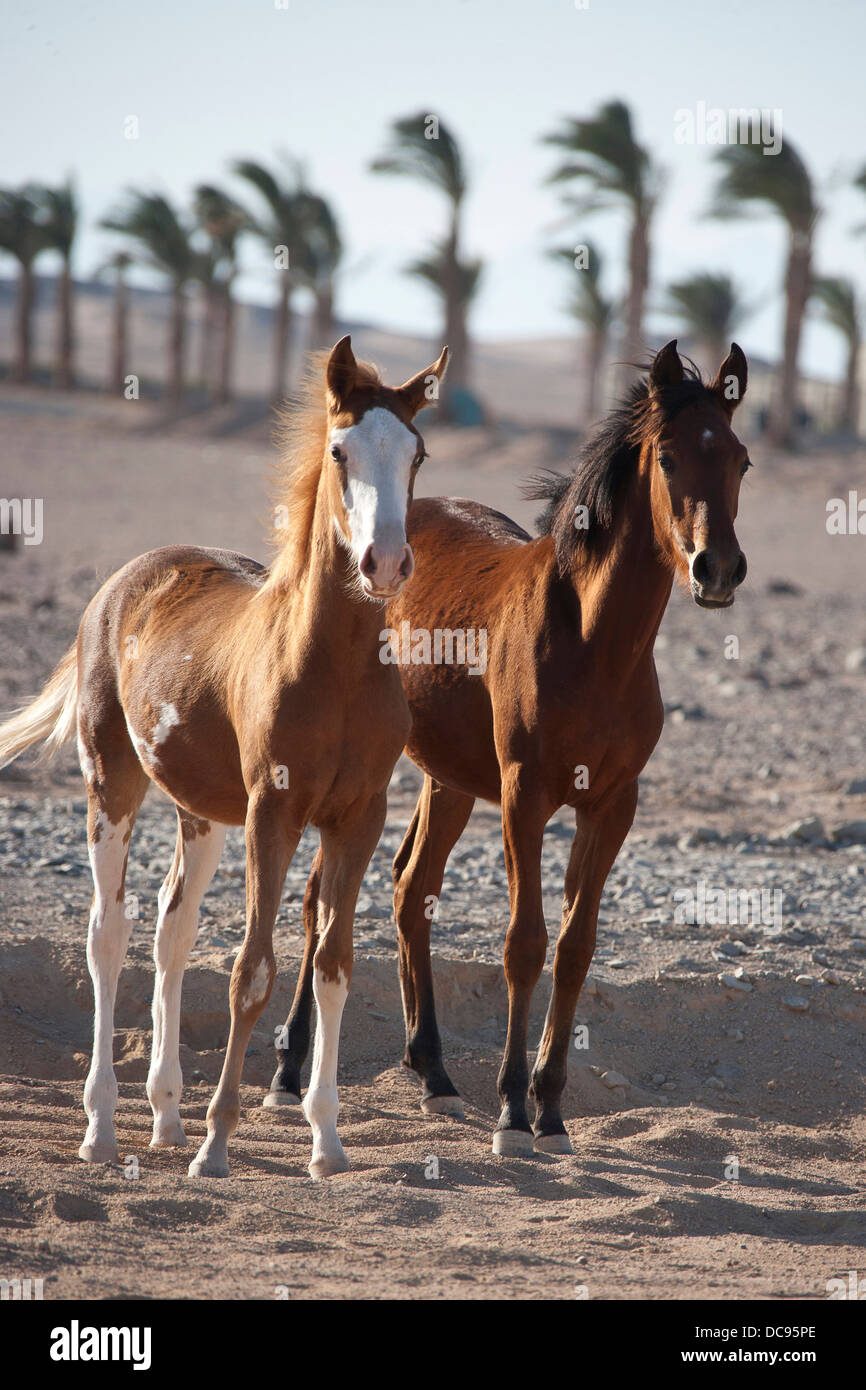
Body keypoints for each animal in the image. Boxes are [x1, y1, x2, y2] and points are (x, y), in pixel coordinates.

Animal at [0, 335, 448, 1179]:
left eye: (418, 454)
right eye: (339, 450)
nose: (385, 562)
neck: (334, 667)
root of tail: (122, 583)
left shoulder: (359, 818)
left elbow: (333, 966)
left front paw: (326, 1143)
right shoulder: (274, 810)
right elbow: (252, 972)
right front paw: (217, 1144)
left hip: (202, 815)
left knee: (169, 934)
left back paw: (165, 1119)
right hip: (112, 784)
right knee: (108, 935)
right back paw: (103, 1129)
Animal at [265, 339, 752, 1156]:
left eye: (742, 460)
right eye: (671, 458)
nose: (717, 568)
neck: (592, 643)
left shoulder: (612, 805)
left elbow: (576, 949)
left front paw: (551, 1110)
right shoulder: (526, 795)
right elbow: (525, 943)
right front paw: (514, 1113)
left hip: (450, 780)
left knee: (410, 890)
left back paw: (432, 1072)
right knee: (318, 899)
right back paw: (289, 1070)